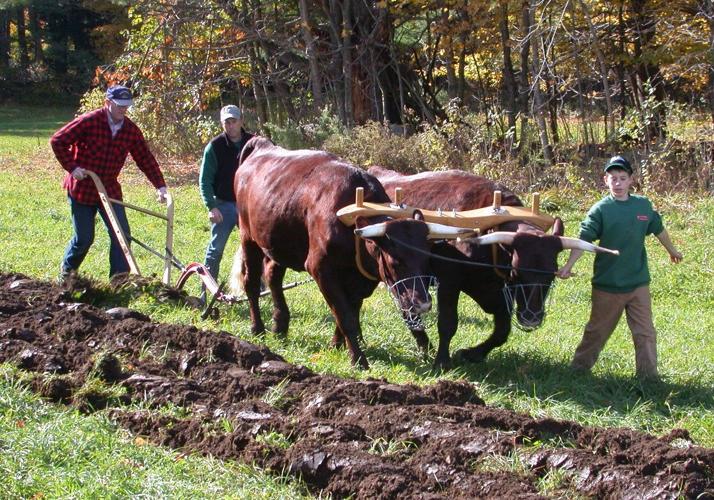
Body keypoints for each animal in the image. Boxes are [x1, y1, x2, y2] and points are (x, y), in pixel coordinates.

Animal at [232, 138, 469, 369]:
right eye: (395, 261)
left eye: (427, 258)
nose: (423, 304)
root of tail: (261, 145)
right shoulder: (320, 269)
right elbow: (345, 316)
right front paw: (358, 360)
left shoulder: (359, 280)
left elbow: (350, 311)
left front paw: (337, 345)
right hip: (248, 237)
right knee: (251, 282)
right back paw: (257, 328)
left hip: (278, 244)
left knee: (273, 277)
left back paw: (280, 325)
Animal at [369, 166, 614, 369]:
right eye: (516, 272)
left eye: (552, 275)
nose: (531, 318)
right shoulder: (449, 281)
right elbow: (448, 323)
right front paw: (442, 361)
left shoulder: (499, 293)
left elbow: (502, 330)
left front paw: (472, 354)